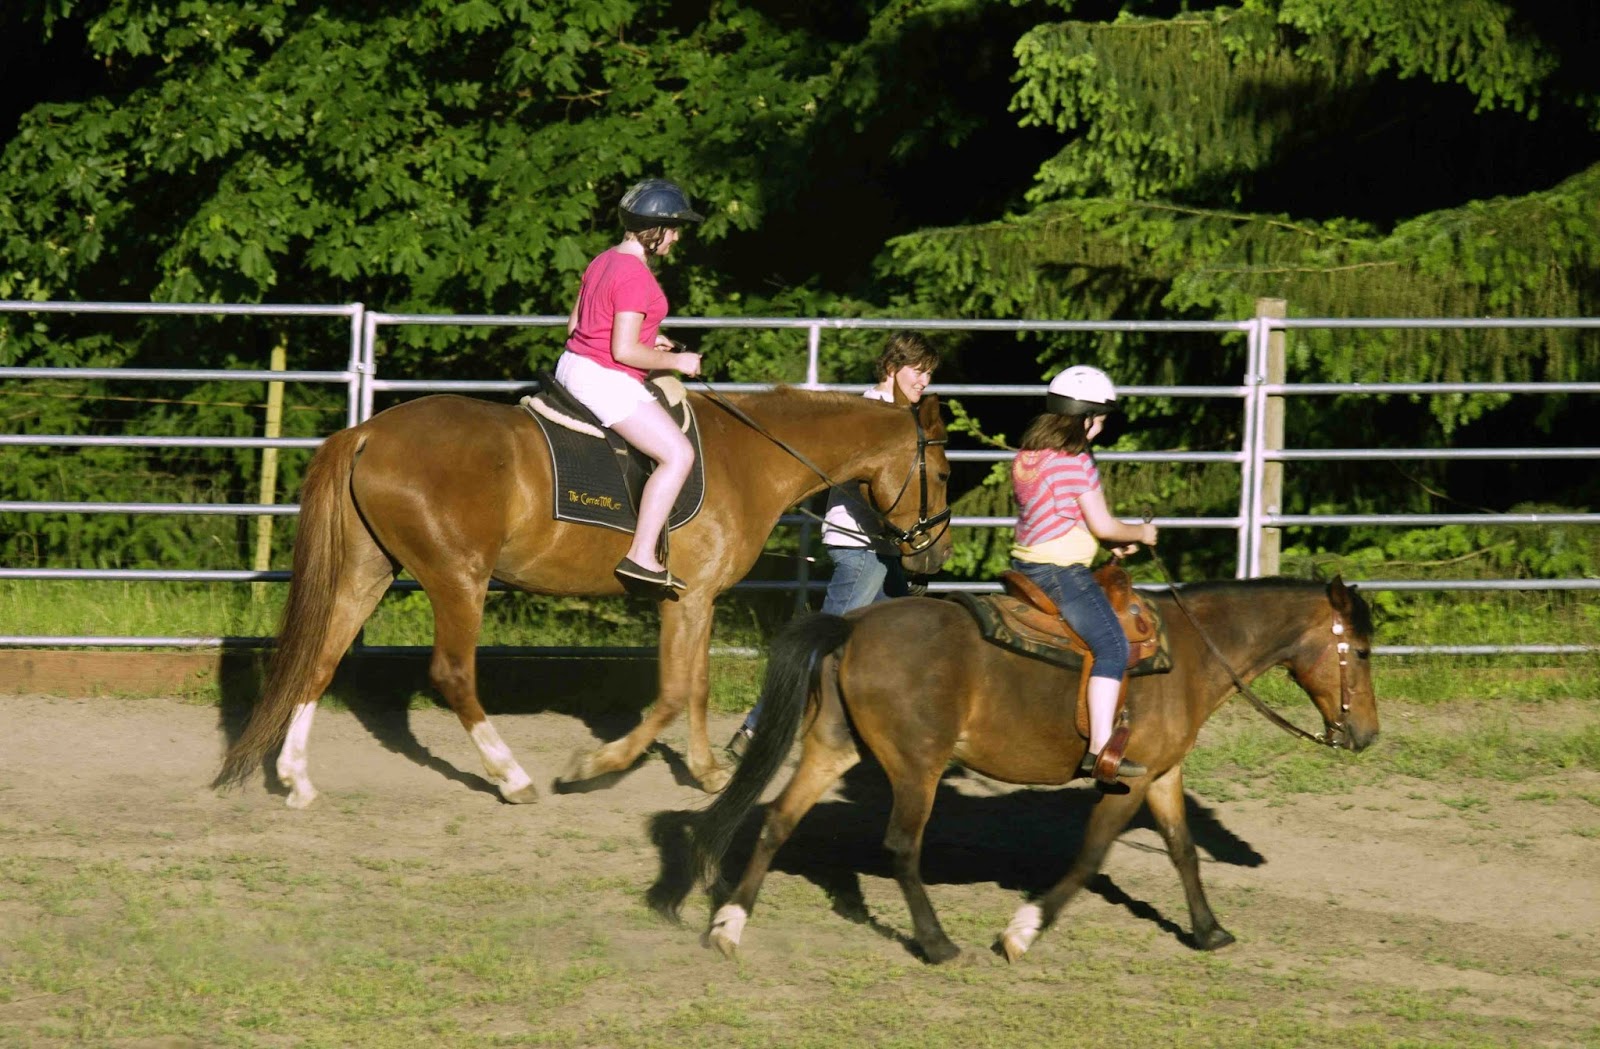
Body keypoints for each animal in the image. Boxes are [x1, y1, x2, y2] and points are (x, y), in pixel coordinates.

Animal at [212, 388, 952, 808]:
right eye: (944, 472)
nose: (933, 556)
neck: (750, 456)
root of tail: (367, 431)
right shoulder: (684, 600)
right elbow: (673, 694)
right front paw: (596, 765)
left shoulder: (699, 601)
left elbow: (698, 688)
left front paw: (708, 772)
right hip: (459, 580)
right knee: (452, 674)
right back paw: (512, 777)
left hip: (367, 573)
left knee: (320, 660)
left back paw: (298, 778)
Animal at [650, 576, 1378, 963]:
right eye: (1364, 651)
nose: (1367, 735)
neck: (1194, 654)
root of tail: (854, 626)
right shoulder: (1130, 778)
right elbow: (1089, 856)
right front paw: (1021, 931)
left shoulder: (1164, 775)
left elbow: (1182, 849)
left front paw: (1209, 930)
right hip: (917, 764)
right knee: (902, 845)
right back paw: (937, 942)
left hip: (833, 745)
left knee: (777, 821)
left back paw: (729, 925)